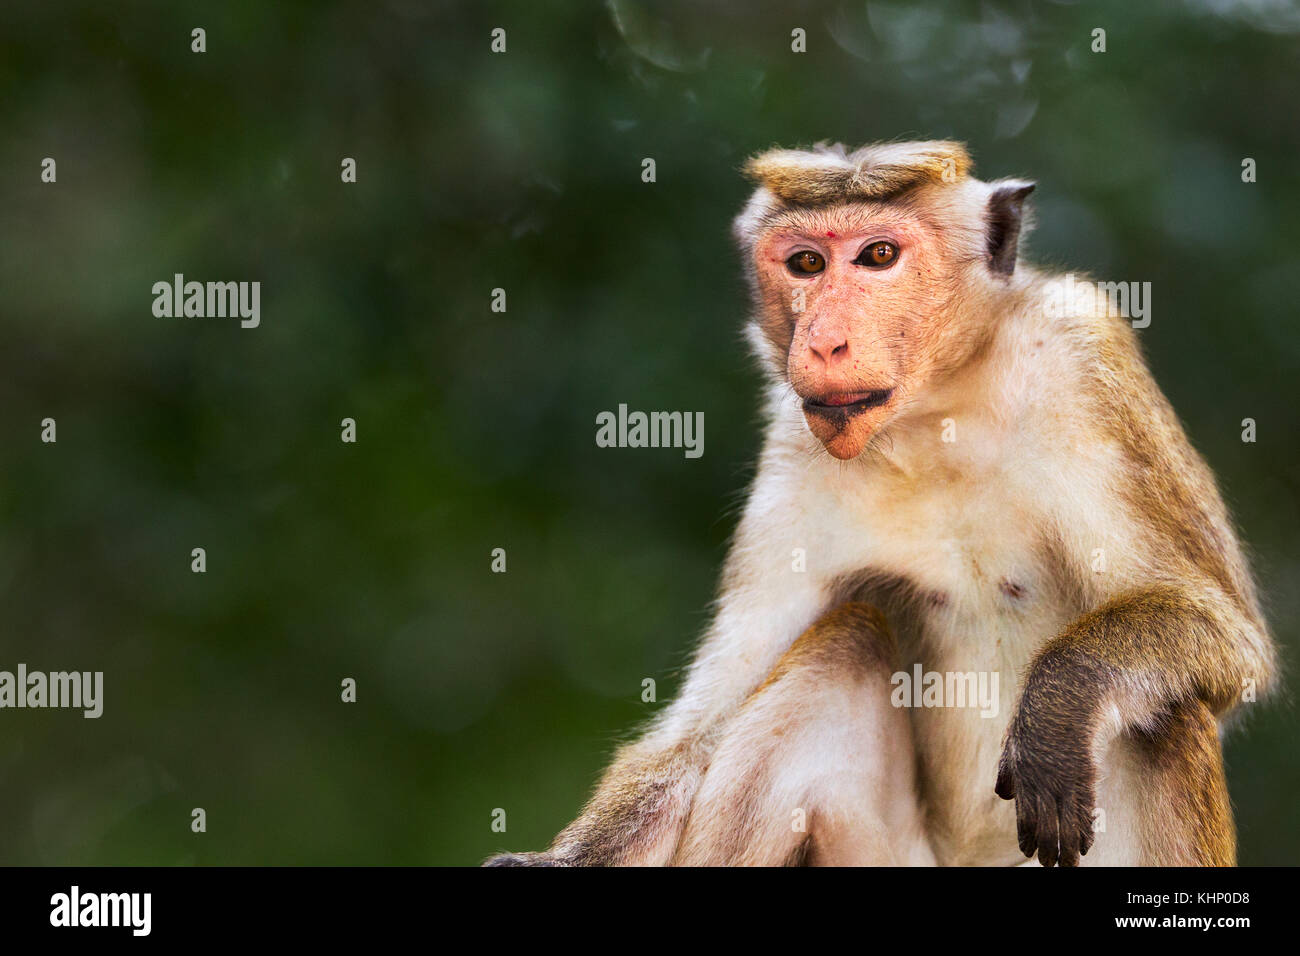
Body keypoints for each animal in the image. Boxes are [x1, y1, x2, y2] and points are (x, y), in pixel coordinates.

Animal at [486, 140, 1277, 867]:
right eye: (806, 264)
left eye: (879, 255)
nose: (826, 342)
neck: (935, 412)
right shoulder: (793, 444)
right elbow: (704, 722)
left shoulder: (1082, 354)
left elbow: (1224, 630)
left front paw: (1061, 703)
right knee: (844, 645)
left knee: (1168, 712)